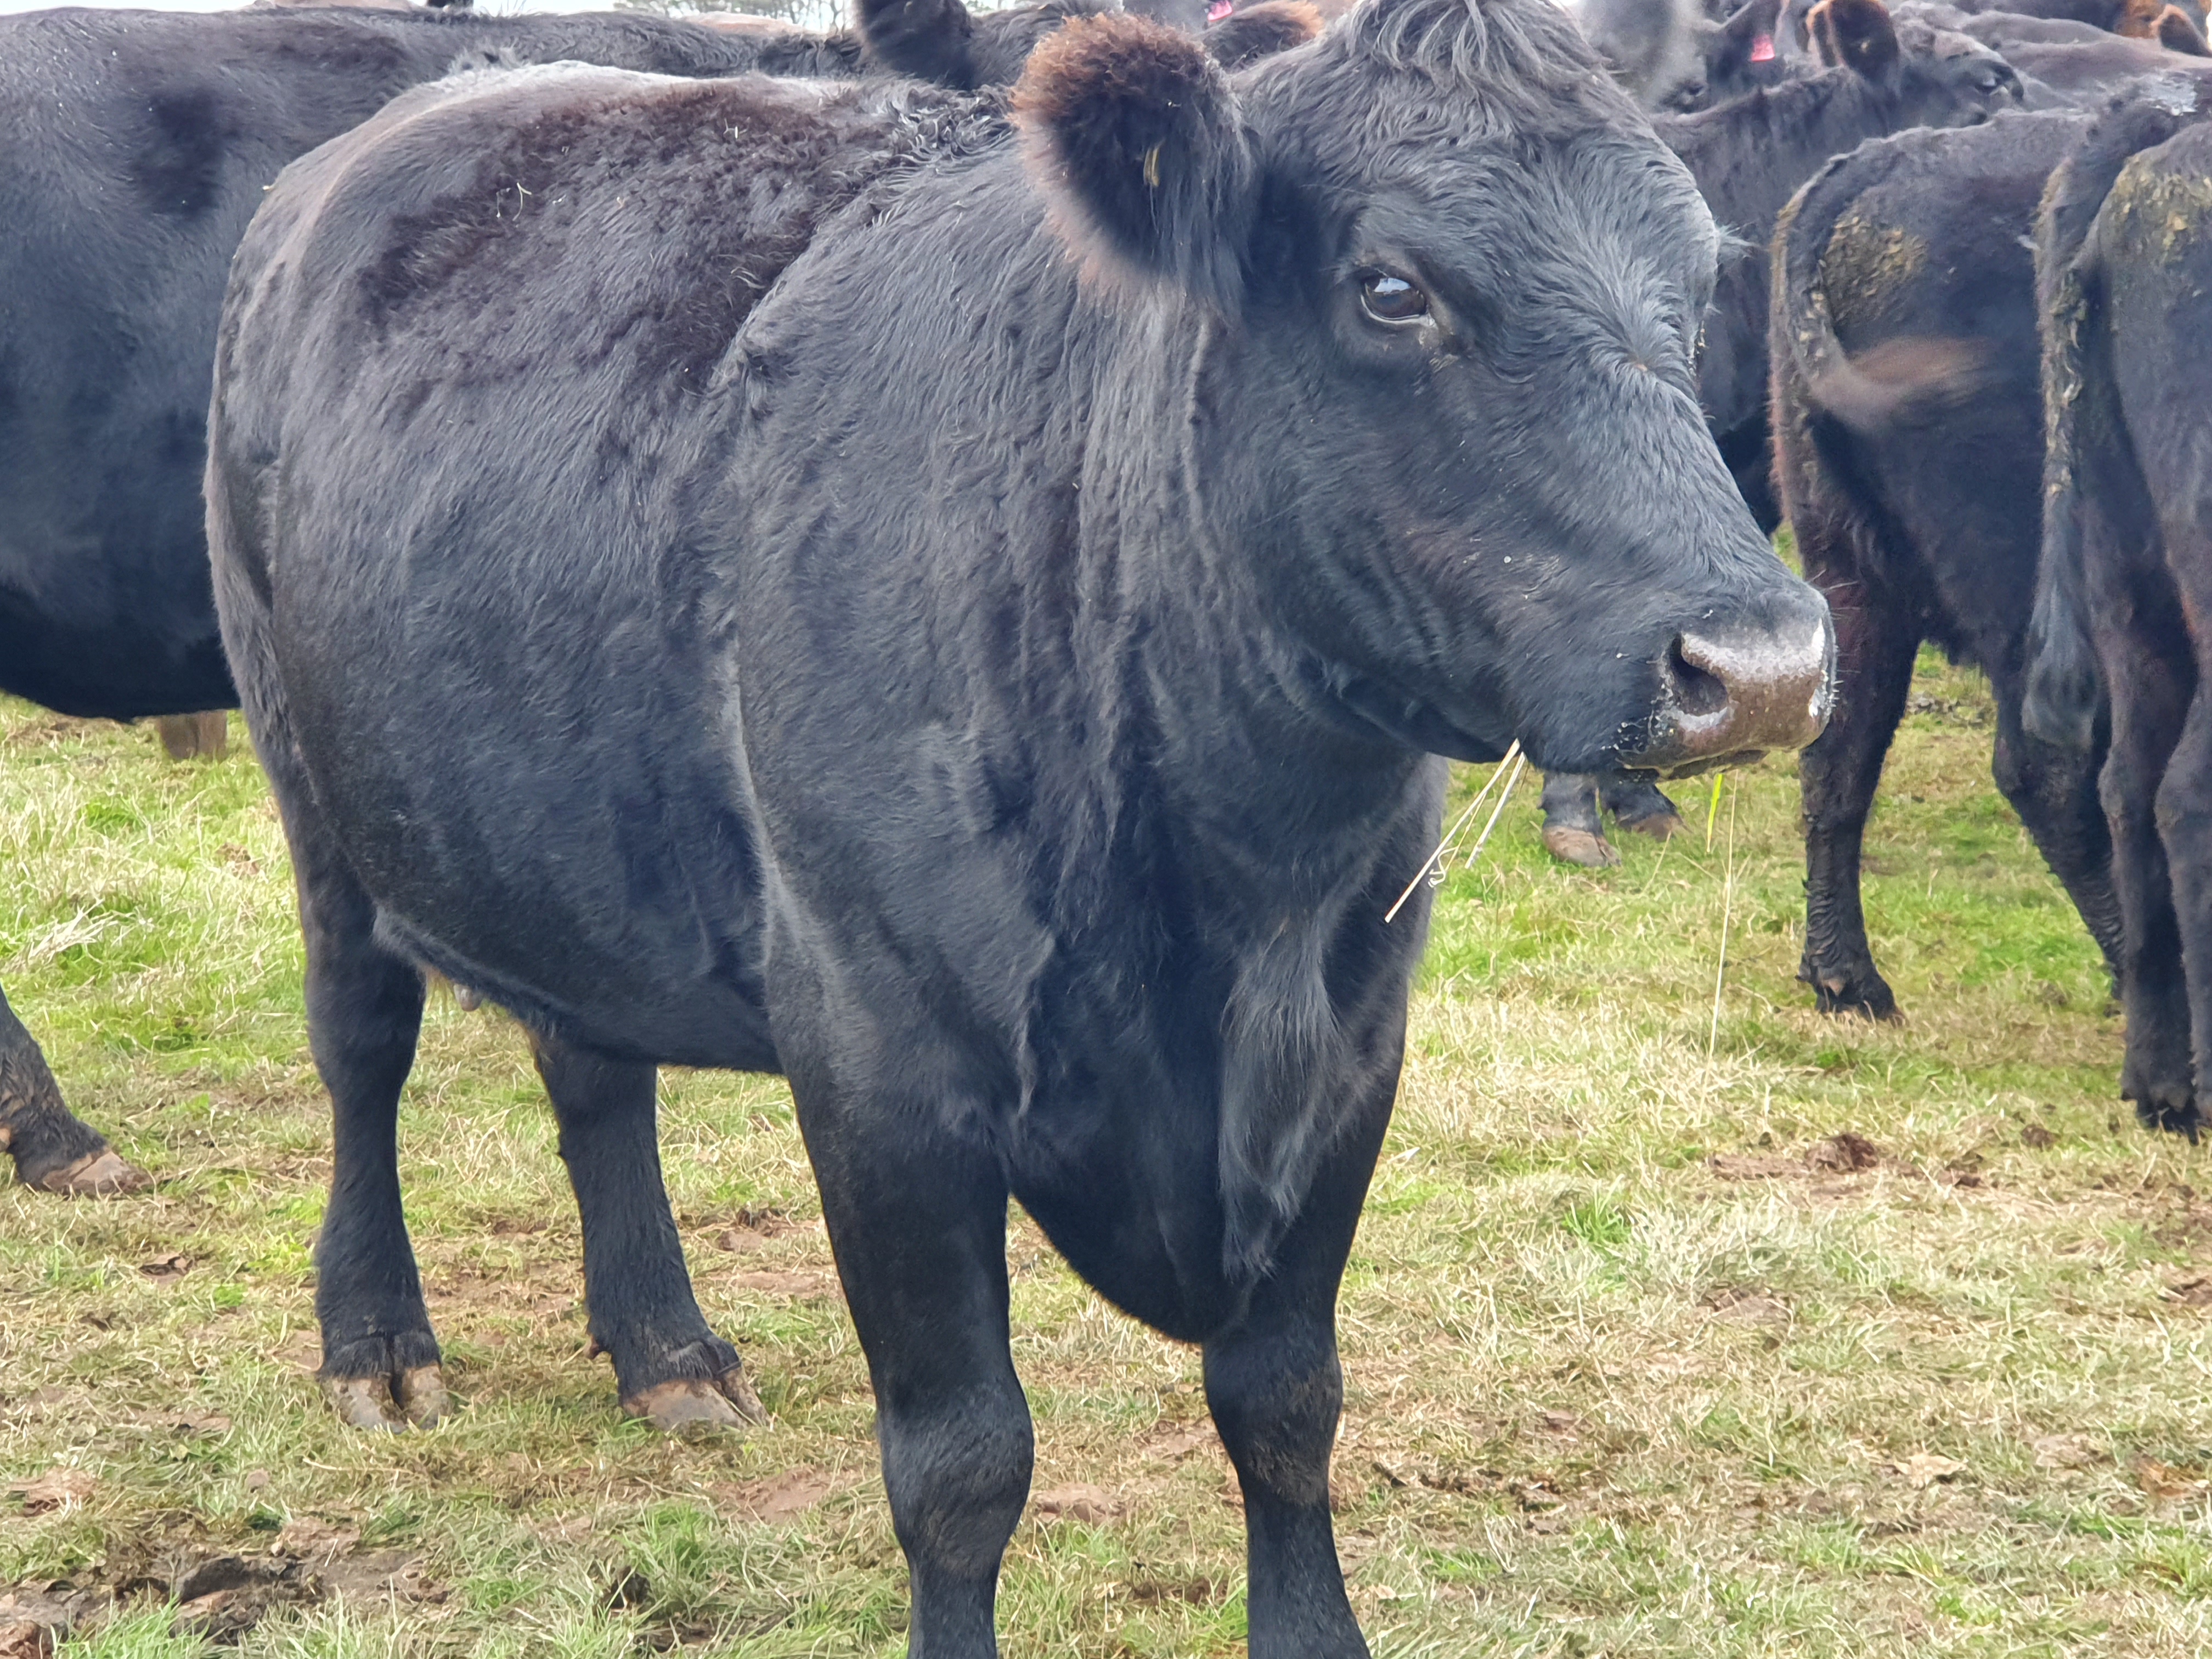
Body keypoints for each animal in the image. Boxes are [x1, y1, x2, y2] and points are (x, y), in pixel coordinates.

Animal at [206, 0, 1833, 1647]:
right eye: (1393, 287)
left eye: (1702, 276)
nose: (1763, 663)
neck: (1230, 901)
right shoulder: (877, 1063)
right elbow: (962, 1464)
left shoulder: (1353, 1045)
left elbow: (1286, 1401)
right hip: (311, 786)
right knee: (362, 1044)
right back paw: (377, 1344)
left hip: (561, 832)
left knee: (595, 1068)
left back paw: (668, 1351)